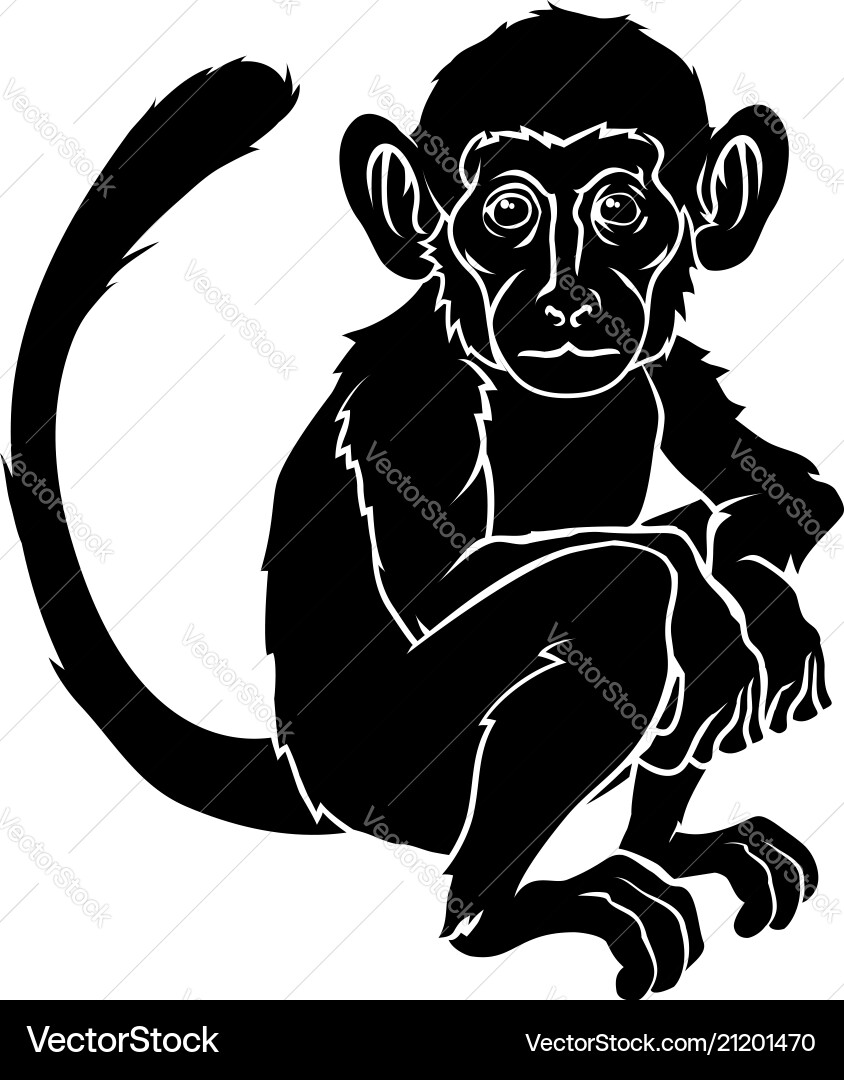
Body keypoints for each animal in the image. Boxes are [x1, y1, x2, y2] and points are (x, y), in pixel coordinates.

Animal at [6, 9, 842, 999]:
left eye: (620, 211)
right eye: (509, 214)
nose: (567, 303)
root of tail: (298, 761)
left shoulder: (662, 362)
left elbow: (793, 495)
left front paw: (765, 597)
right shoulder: (417, 394)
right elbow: (451, 589)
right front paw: (721, 600)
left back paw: (662, 840)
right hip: (393, 768)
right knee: (627, 596)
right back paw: (495, 915)